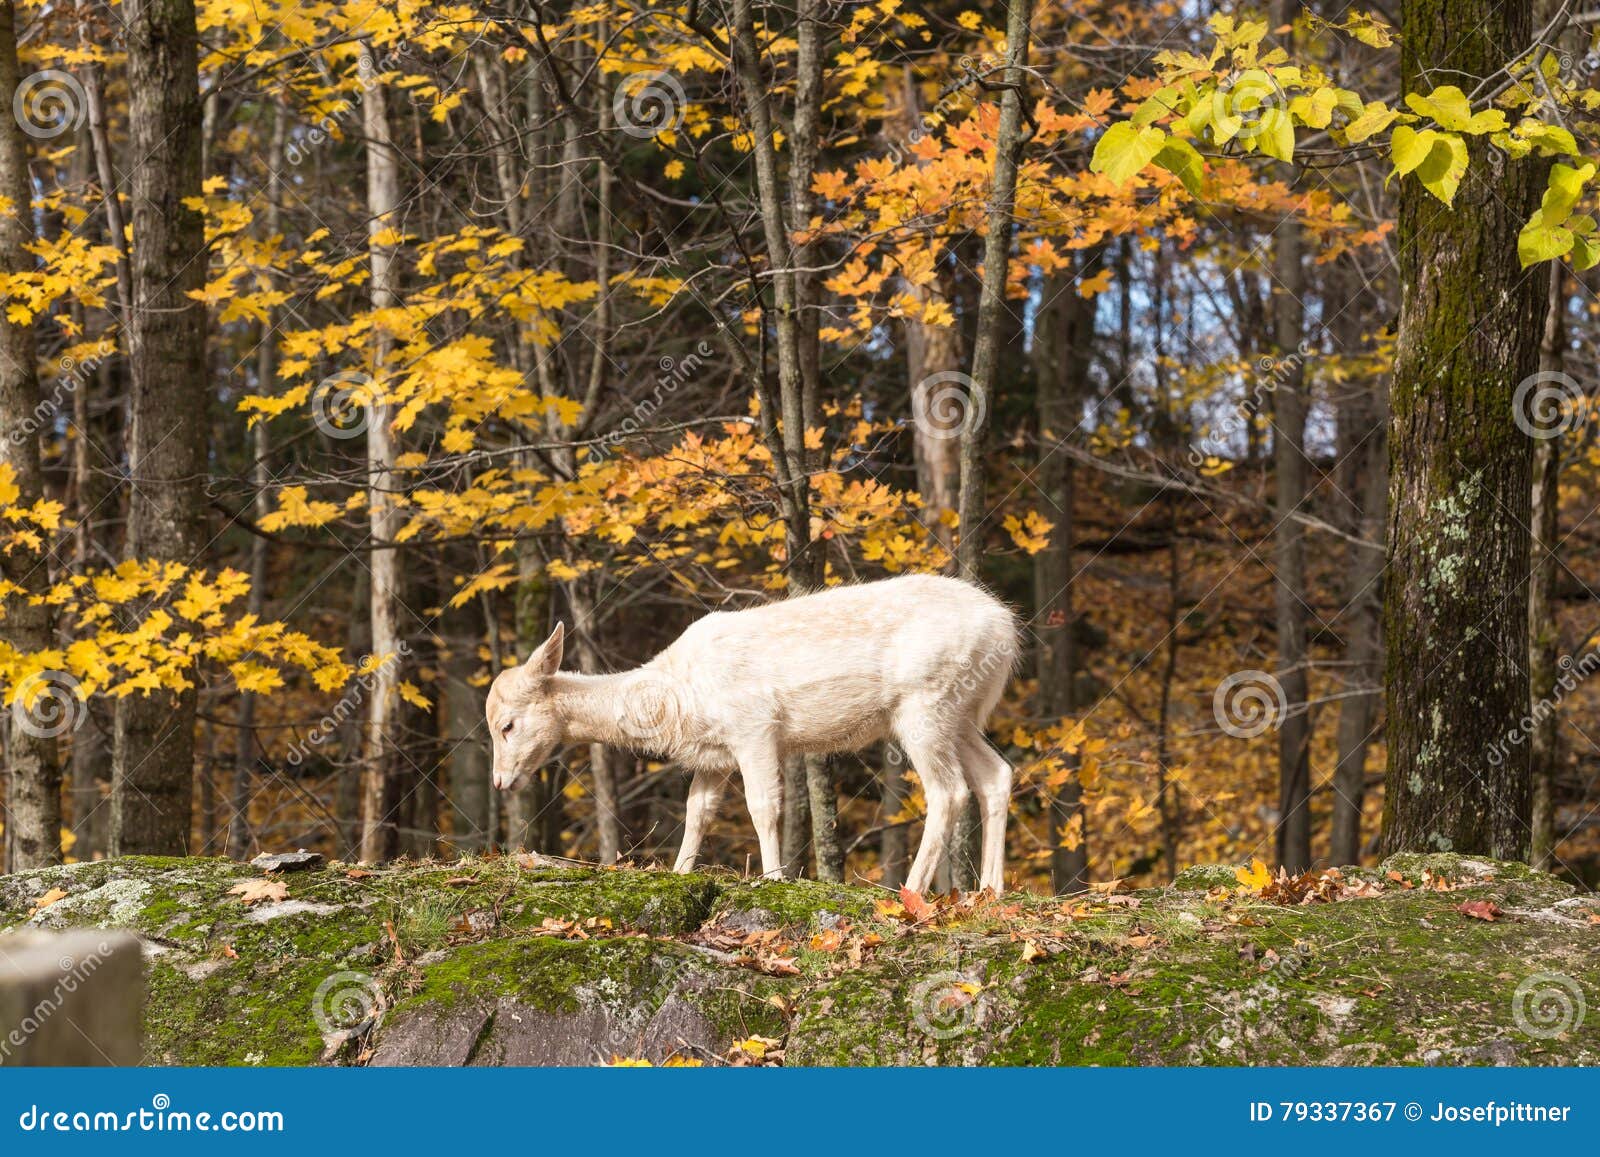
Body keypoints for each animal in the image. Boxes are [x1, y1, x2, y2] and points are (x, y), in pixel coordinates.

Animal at [485, 573, 1020, 893]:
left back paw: (911, 891)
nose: (500, 782)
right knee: (996, 774)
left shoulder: (755, 727)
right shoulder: (714, 756)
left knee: (948, 791)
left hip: (924, 703)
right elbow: (697, 812)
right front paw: (680, 872)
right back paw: (989, 891)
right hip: (961, 712)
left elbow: (763, 807)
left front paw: (775, 877)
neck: (676, 699)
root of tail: (1007, 630)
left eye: (507, 724)